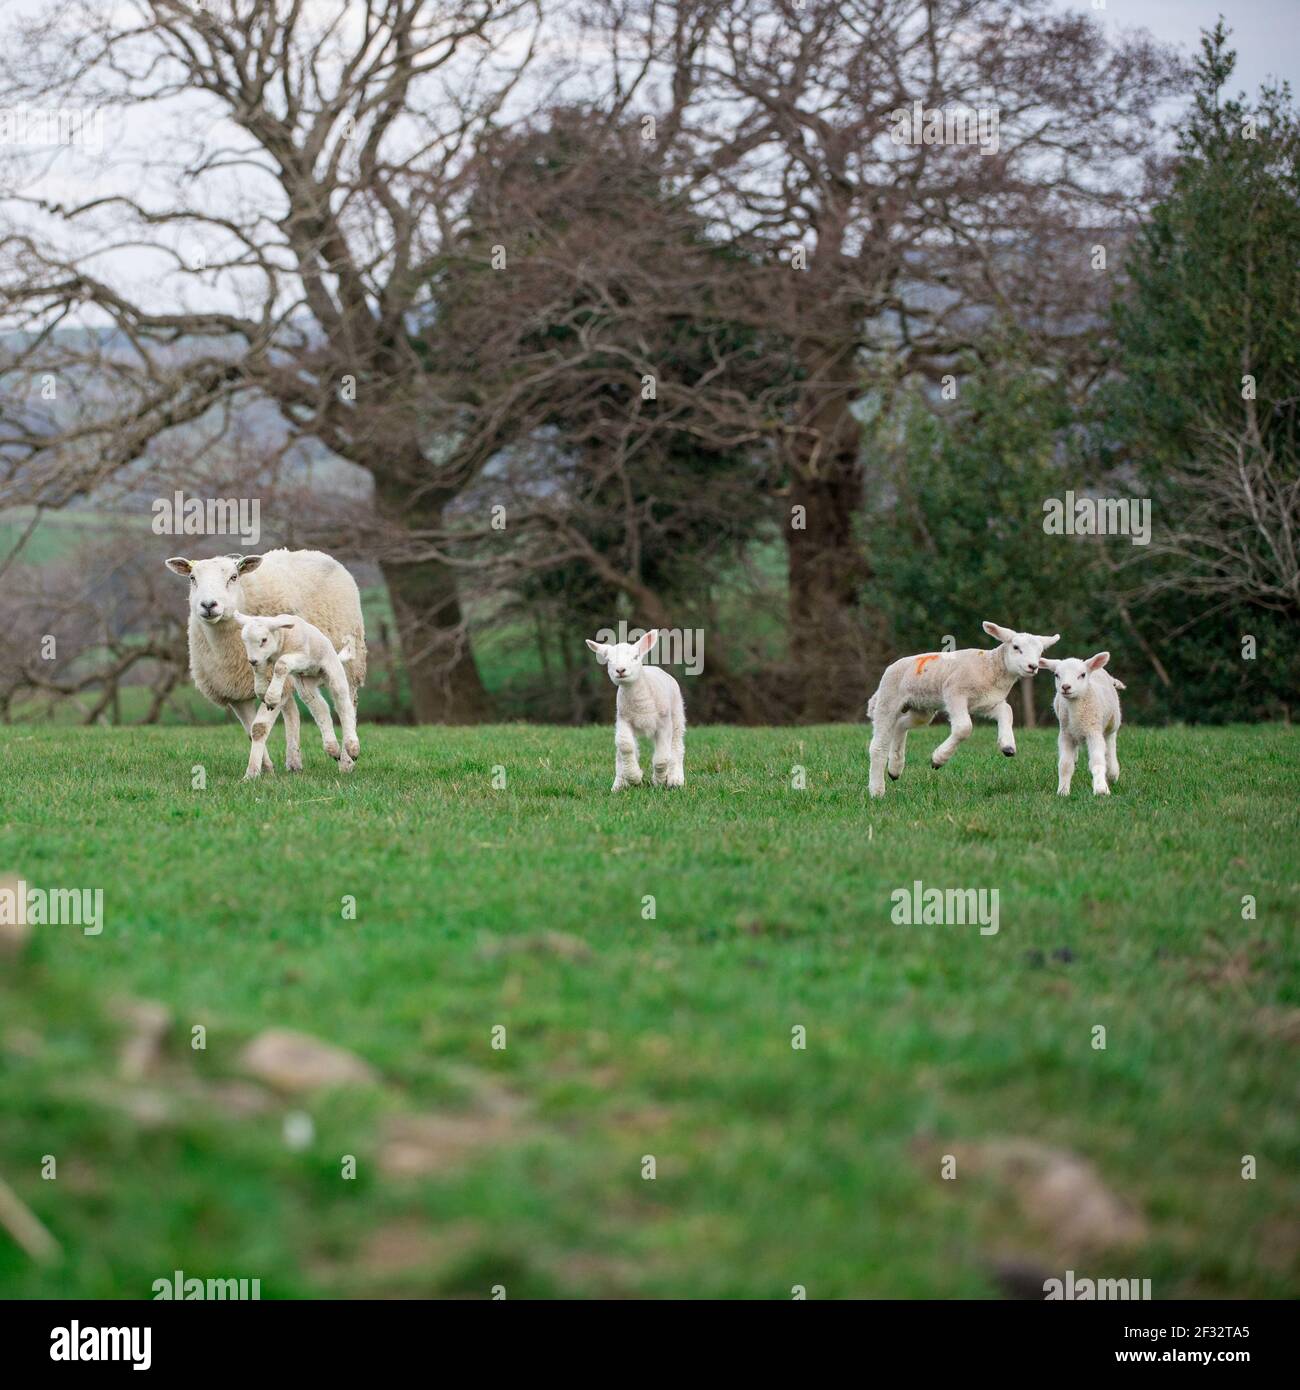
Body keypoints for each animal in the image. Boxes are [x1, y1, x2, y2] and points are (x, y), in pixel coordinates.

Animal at [235, 612, 360, 779]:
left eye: (264, 640)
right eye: (244, 641)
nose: (252, 660)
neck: (281, 641)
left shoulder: (303, 657)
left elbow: (281, 665)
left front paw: (272, 697)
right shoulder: (264, 659)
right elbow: (259, 670)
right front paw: (262, 691)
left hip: (331, 669)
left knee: (343, 702)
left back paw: (352, 748)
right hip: (305, 681)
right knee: (320, 707)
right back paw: (333, 748)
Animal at [585, 629, 686, 791]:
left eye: (635, 657)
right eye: (609, 660)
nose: (620, 670)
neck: (641, 705)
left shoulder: (664, 724)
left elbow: (662, 757)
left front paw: (659, 780)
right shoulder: (623, 720)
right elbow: (625, 746)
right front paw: (634, 777)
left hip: (676, 713)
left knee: (677, 745)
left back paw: (675, 780)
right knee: (620, 752)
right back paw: (619, 784)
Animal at [866, 622, 1060, 797]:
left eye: (1040, 652)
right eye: (1016, 647)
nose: (1033, 666)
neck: (990, 667)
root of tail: (891, 667)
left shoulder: (987, 702)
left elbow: (1007, 711)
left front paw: (1008, 746)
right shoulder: (954, 692)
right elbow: (964, 728)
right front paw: (938, 759)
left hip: (921, 707)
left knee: (901, 725)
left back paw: (895, 769)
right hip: (889, 698)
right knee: (878, 746)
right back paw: (877, 791)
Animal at [1039, 652, 1126, 796]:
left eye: (1082, 674)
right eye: (1056, 675)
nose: (1065, 687)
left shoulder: (1094, 732)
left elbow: (1097, 761)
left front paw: (1101, 789)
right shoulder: (1066, 734)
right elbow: (1065, 765)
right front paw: (1063, 791)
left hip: (1113, 721)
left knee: (1110, 741)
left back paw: (1112, 773)